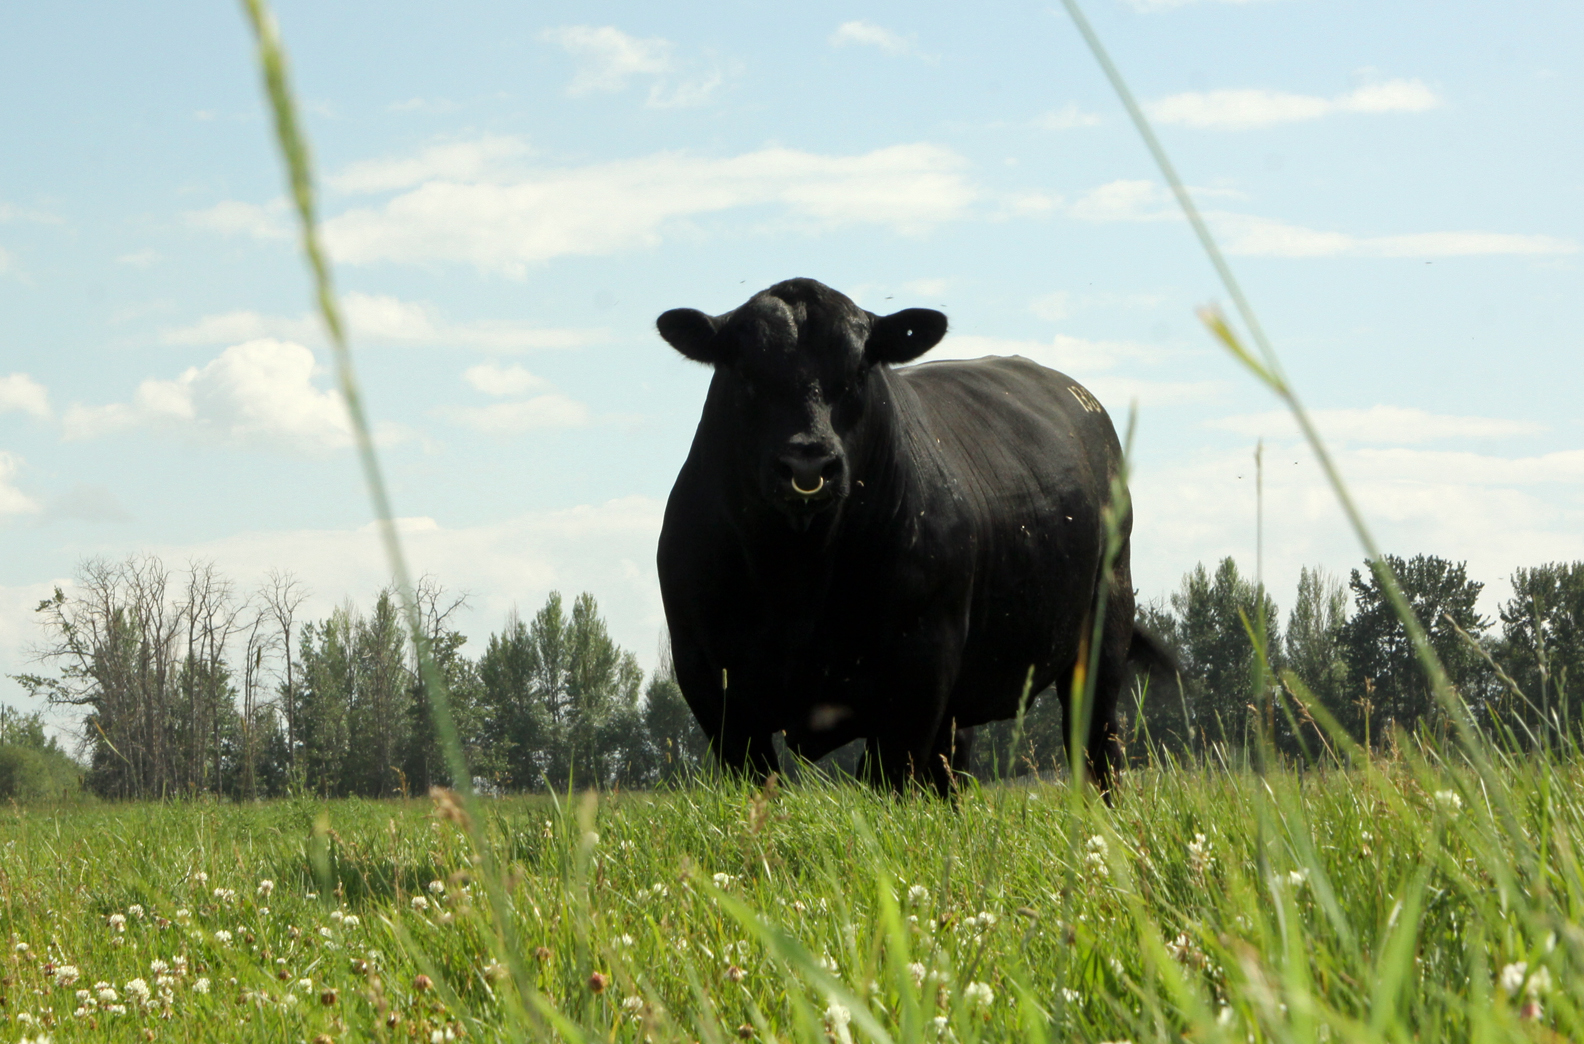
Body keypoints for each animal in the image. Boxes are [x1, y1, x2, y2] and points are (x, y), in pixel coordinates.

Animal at [655, 277, 1162, 798]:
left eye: (860, 369)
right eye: (744, 370)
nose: (808, 463)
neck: (800, 574)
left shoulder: (920, 664)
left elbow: (890, 779)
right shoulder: (708, 676)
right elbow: (756, 781)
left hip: (1105, 624)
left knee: (1097, 743)